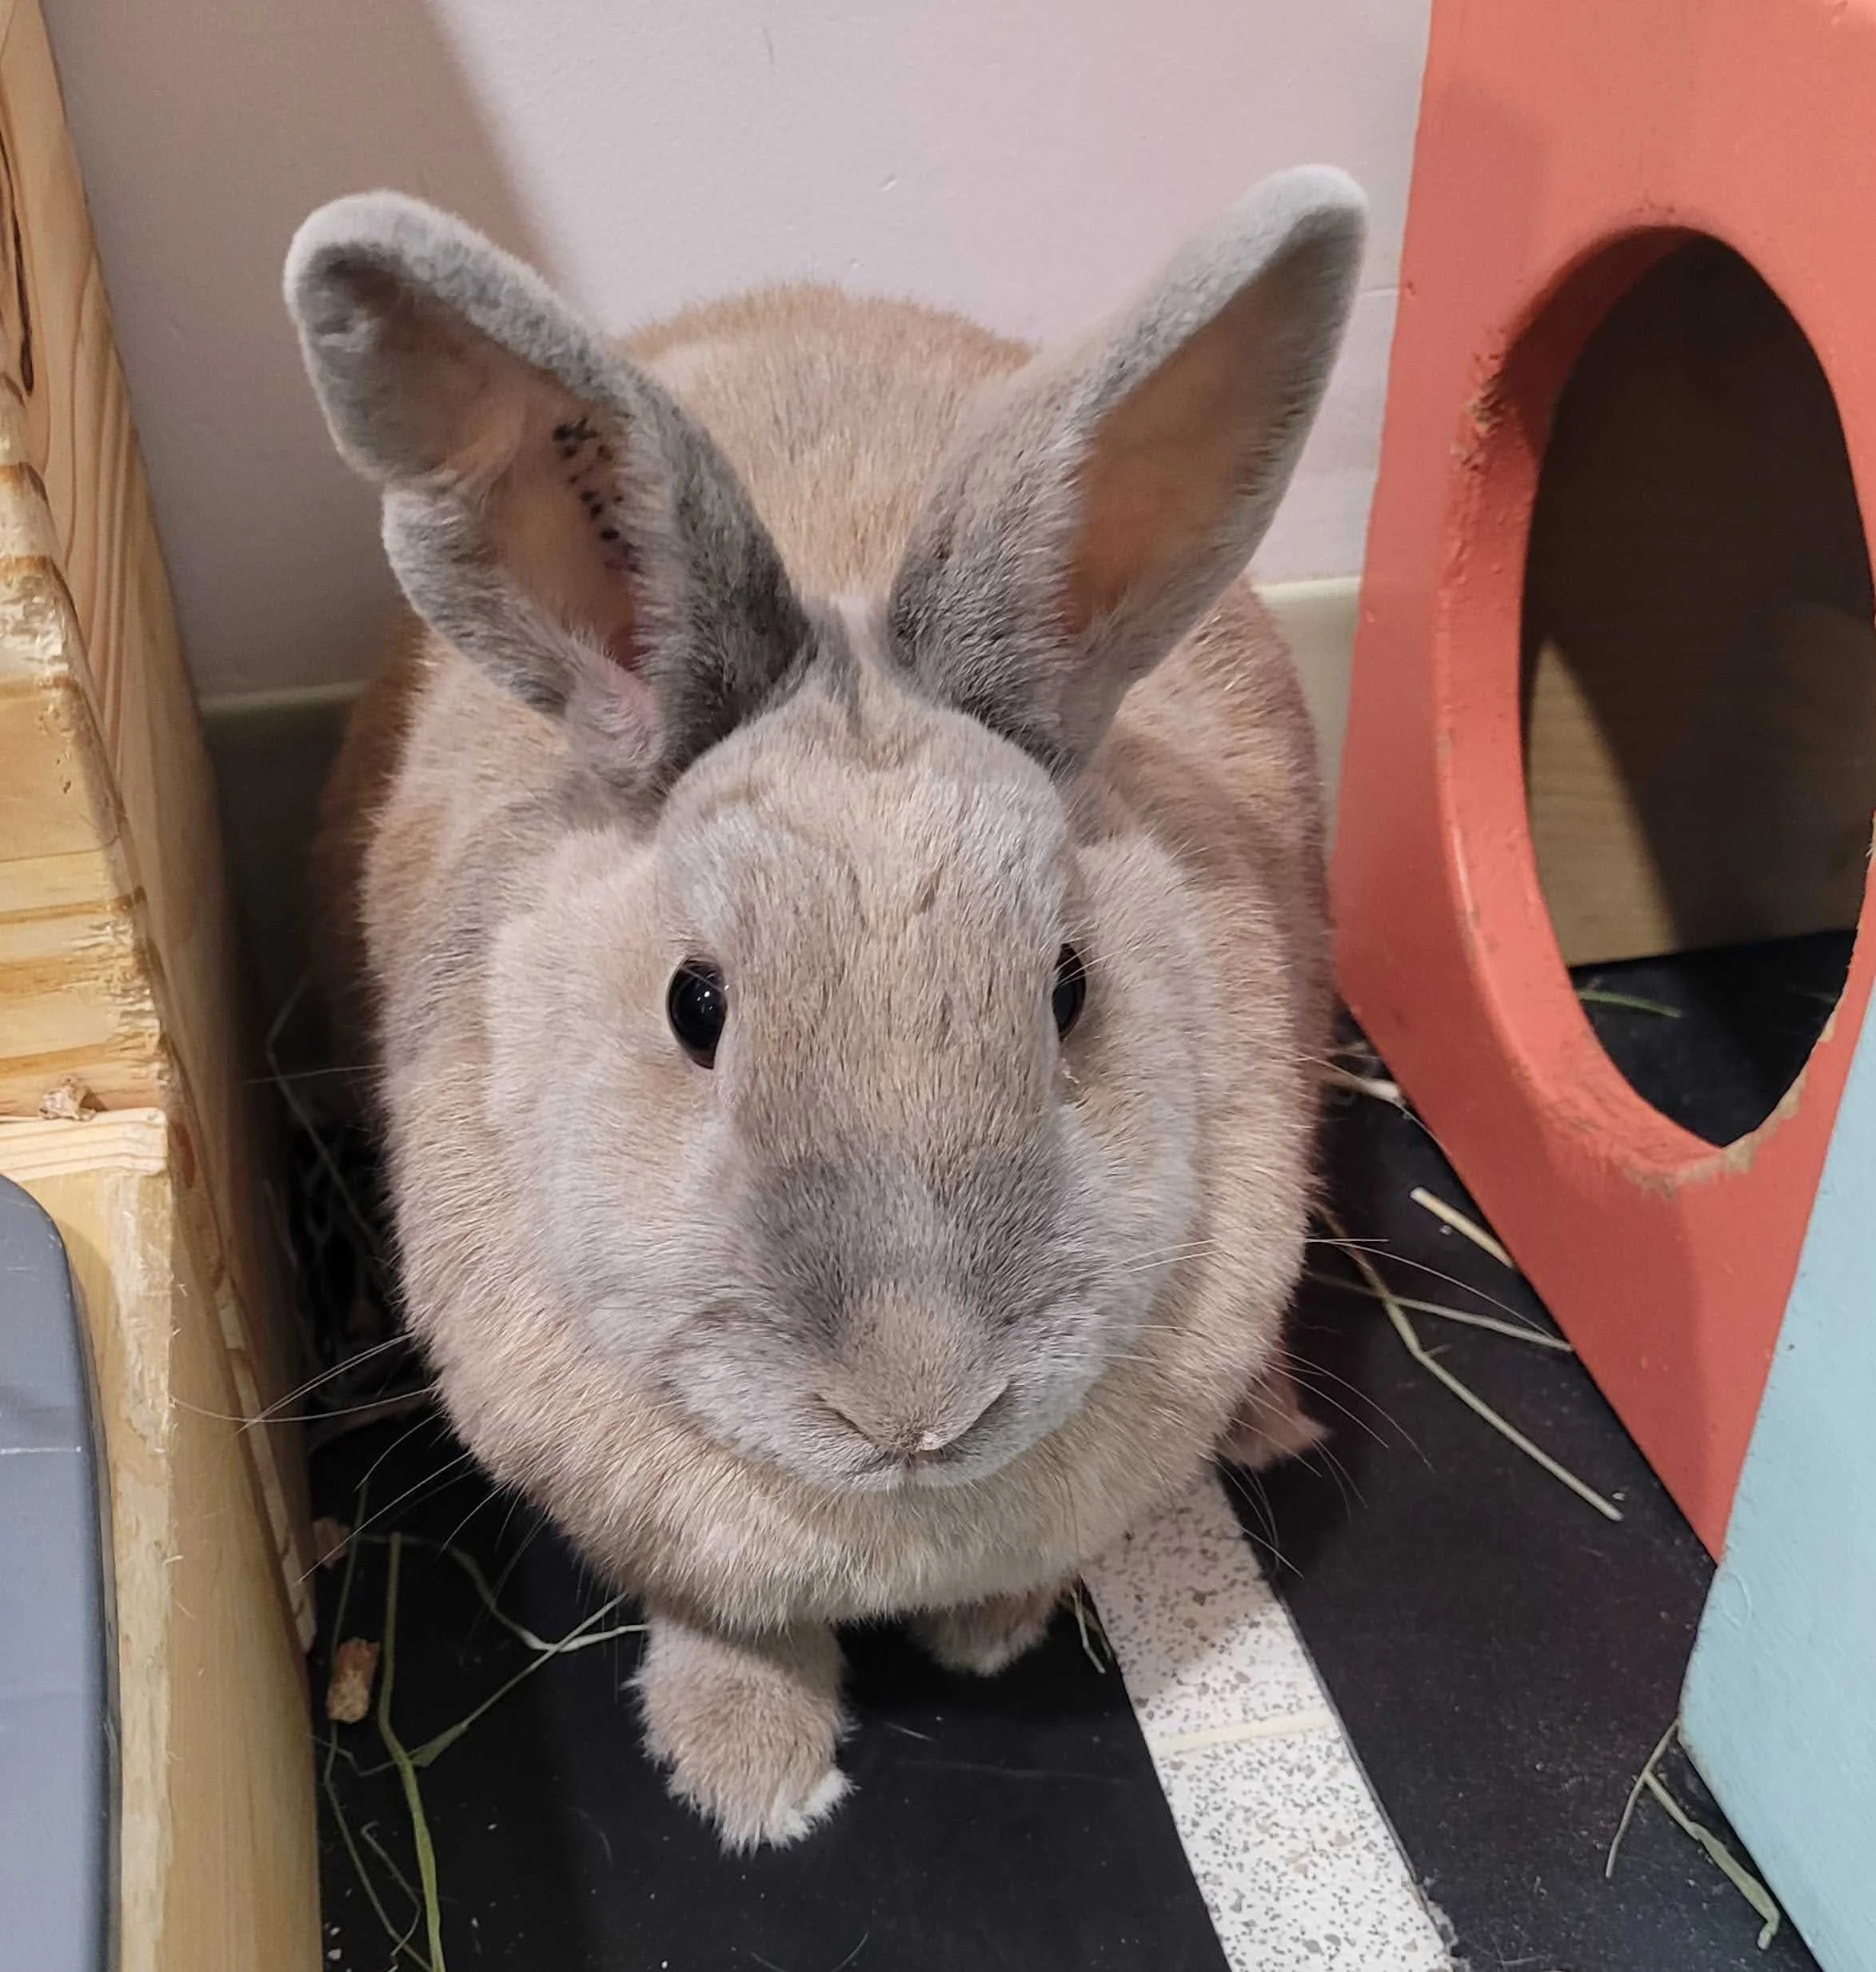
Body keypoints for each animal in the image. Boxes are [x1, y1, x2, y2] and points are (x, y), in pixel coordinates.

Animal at [289, 164, 1365, 1851]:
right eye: (694, 1005)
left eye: (1068, 989)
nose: (915, 1403)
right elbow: (724, 1621)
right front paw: (749, 1779)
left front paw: (991, 1632)